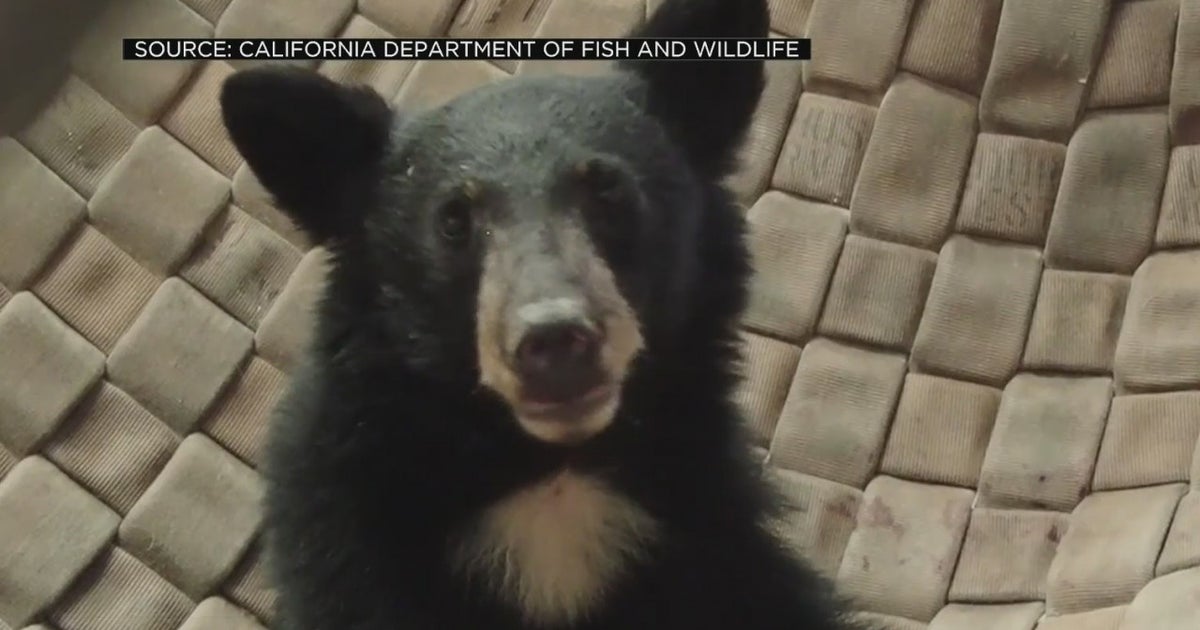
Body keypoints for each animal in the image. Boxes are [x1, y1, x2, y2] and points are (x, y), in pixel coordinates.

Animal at [219, 0, 861, 628]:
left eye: (607, 191)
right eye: (453, 220)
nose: (554, 342)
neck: (551, 474)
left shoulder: (720, 533)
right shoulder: (349, 543)